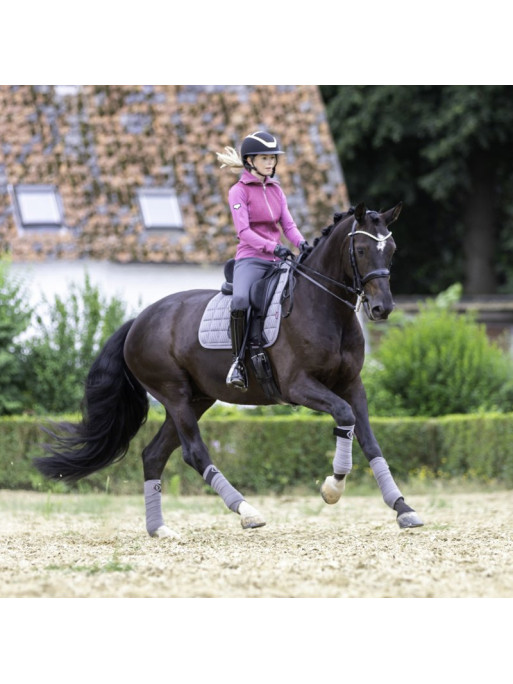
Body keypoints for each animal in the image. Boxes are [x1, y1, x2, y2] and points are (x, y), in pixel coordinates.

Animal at [33, 201, 423, 536]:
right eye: (361, 250)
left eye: (391, 250)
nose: (382, 308)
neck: (326, 308)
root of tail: (139, 320)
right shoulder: (299, 386)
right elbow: (344, 417)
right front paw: (333, 487)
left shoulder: (352, 384)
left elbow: (369, 440)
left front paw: (402, 508)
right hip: (175, 396)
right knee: (193, 452)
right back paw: (246, 511)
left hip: (197, 399)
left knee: (154, 454)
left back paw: (159, 529)